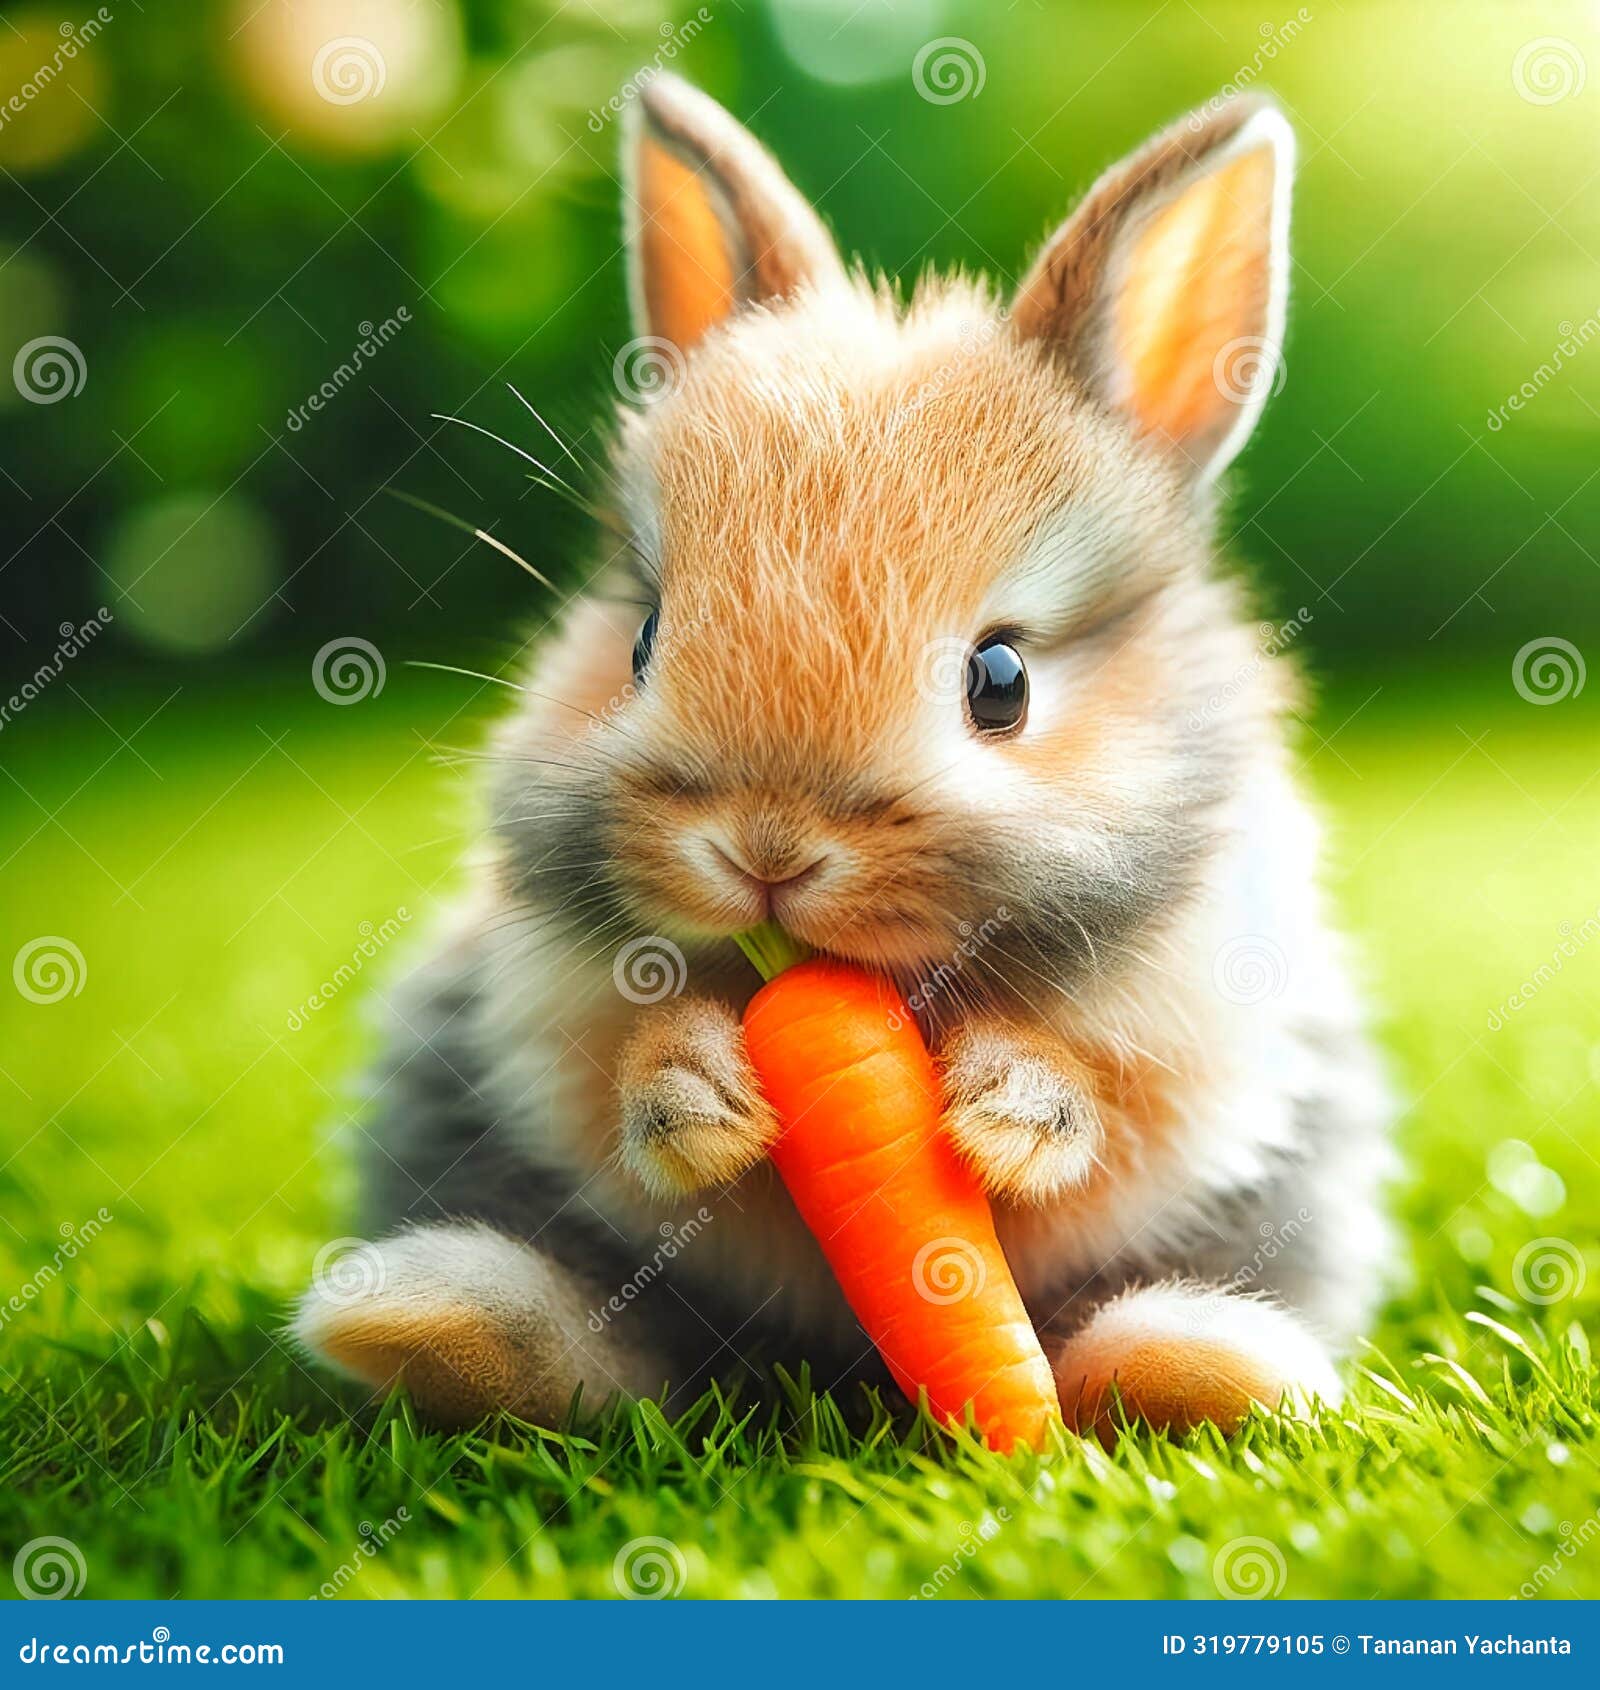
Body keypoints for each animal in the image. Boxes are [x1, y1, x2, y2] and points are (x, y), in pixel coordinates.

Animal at [294, 73, 1394, 1439]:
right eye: (643, 636)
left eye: (999, 681)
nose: (765, 849)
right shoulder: (546, 1004)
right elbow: (620, 1084)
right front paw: (701, 1094)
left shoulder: (1191, 1027)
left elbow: (1103, 1099)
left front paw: (1005, 1114)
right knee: (628, 1352)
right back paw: (431, 1327)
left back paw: (1205, 1365)